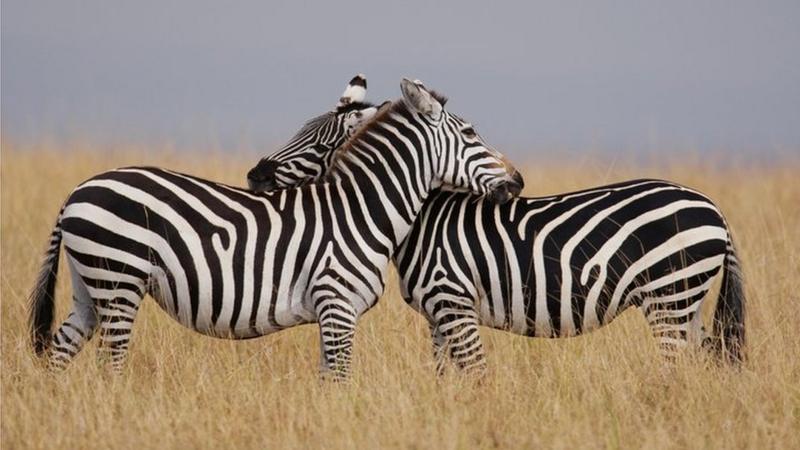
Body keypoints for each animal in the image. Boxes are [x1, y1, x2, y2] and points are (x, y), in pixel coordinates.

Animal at [28, 77, 523, 380]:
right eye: (473, 135)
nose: (517, 181)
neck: (363, 210)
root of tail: (77, 190)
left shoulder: (332, 311)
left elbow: (328, 381)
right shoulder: (337, 304)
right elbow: (340, 382)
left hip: (90, 286)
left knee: (60, 351)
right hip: (119, 281)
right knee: (109, 365)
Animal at [247, 88, 746, 374]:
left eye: (321, 142)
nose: (254, 175)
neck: (421, 221)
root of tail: (714, 208)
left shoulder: (453, 302)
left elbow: (474, 375)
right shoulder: (437, 315)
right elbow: (445, 377)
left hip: (671, 295)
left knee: (674, 370)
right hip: (686, 301)